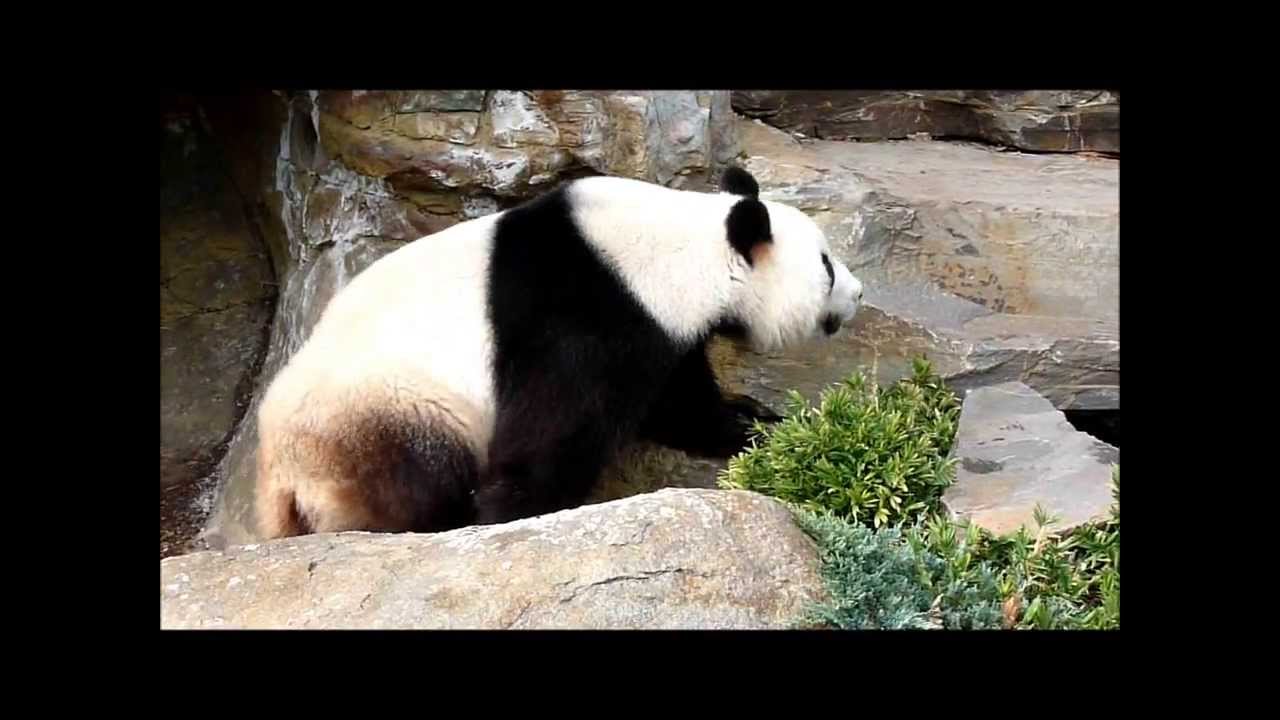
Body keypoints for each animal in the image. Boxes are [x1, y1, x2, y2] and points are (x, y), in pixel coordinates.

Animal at [253, 166, 864, 539]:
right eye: (827, 266)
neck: (679, 248)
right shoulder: (585, 312)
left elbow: (680, 402)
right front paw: (512, 513)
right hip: (383, 412)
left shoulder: (656, 326)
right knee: (416, 476)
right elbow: (554, 429)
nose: (859, 295)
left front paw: (757, 422)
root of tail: (277, 476)